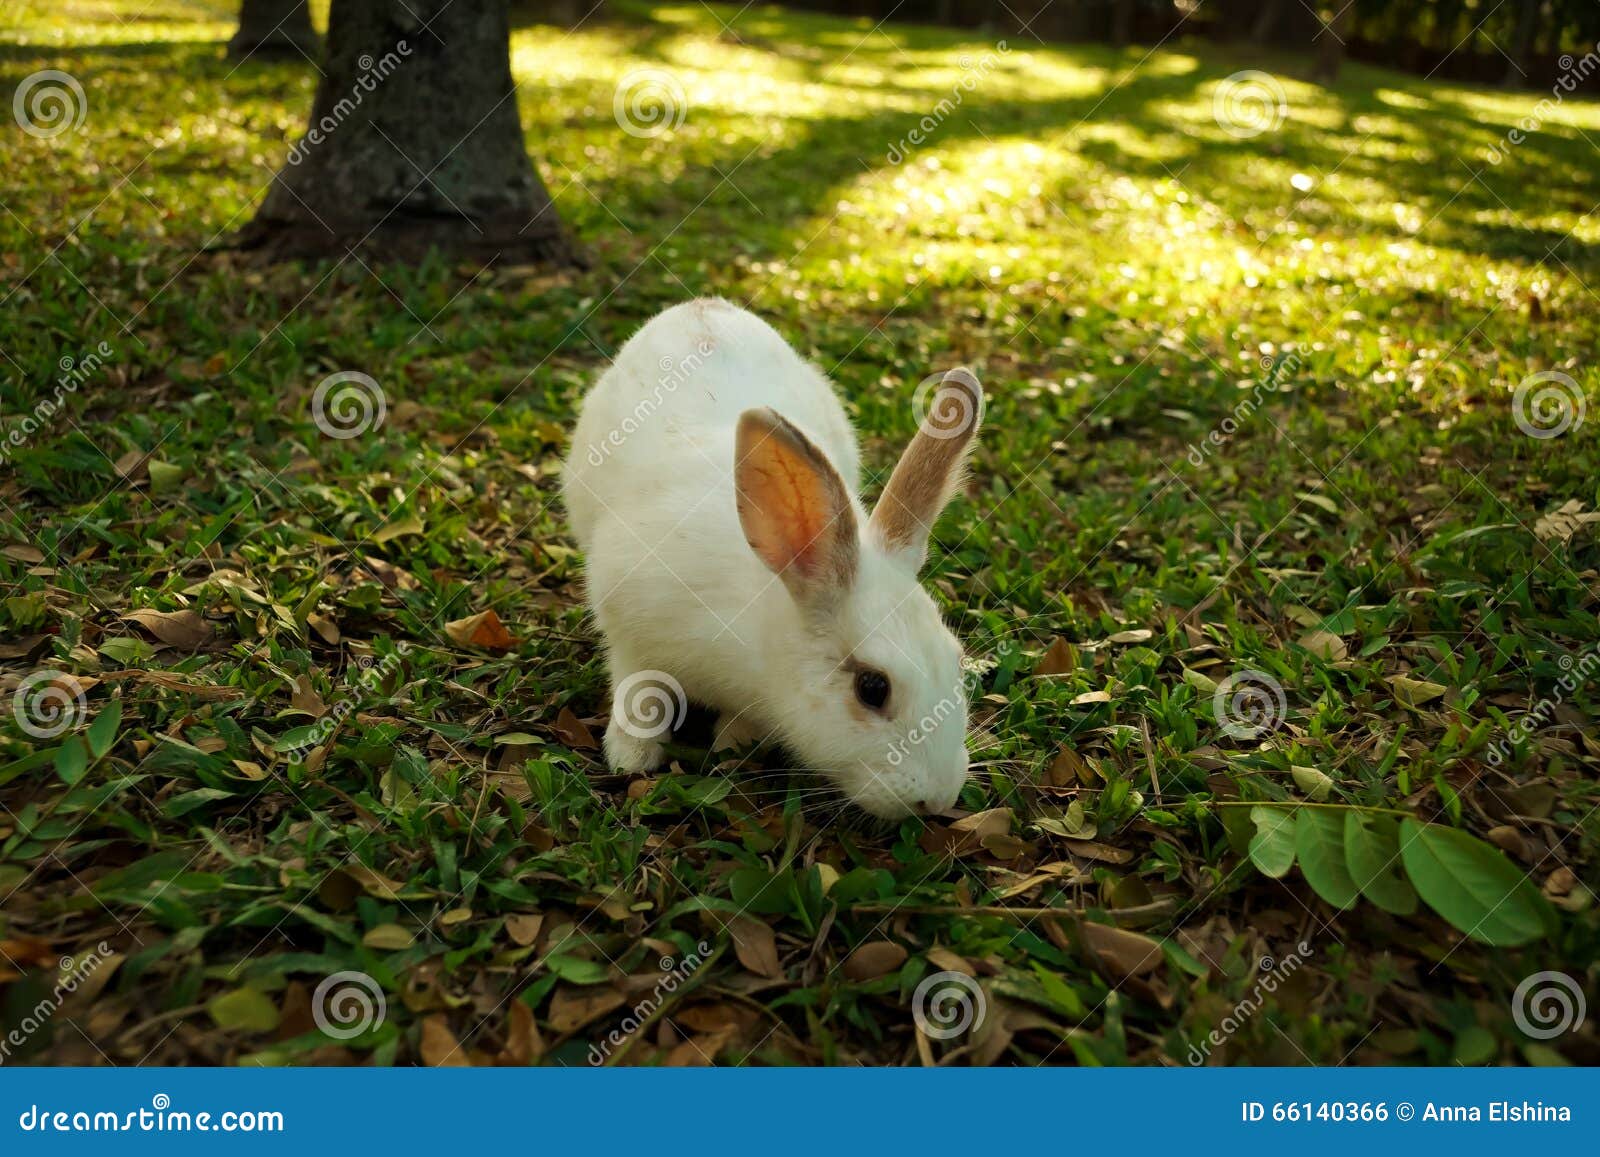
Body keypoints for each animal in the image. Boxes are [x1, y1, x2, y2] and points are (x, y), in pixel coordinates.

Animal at [562, 297, 982, 819]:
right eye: (872, 688)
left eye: (957, 660)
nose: (939, 797)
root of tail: (702, 305)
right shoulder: (627, 629)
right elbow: (638, 689)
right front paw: (631, 756)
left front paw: (733, 742)